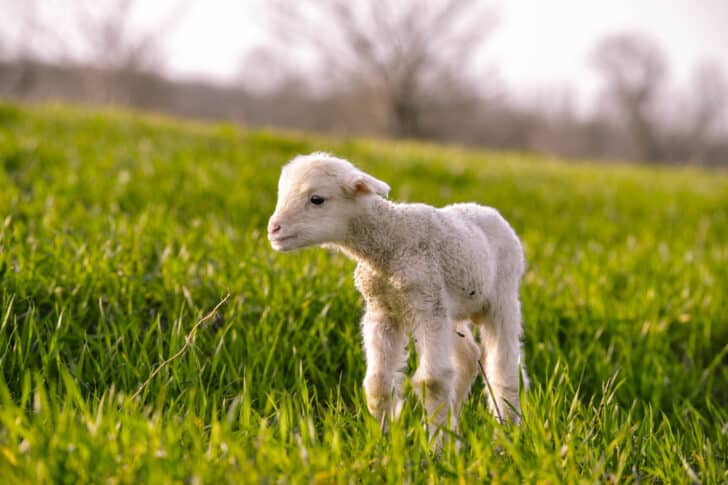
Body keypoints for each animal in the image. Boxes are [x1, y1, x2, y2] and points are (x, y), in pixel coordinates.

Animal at [267, 152, 526, 438]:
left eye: (317, 199)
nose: (273, 229)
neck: (391, 243)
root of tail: (489, 211)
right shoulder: (383, 311)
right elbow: (378, 383)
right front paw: (384, 440)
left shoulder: (427, 306)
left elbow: (432, 381)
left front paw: (436, 445)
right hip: (451, 310)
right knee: (468, 356)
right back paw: (456, 422)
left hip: (502, 297)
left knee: (505, 370)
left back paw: (506, 435)